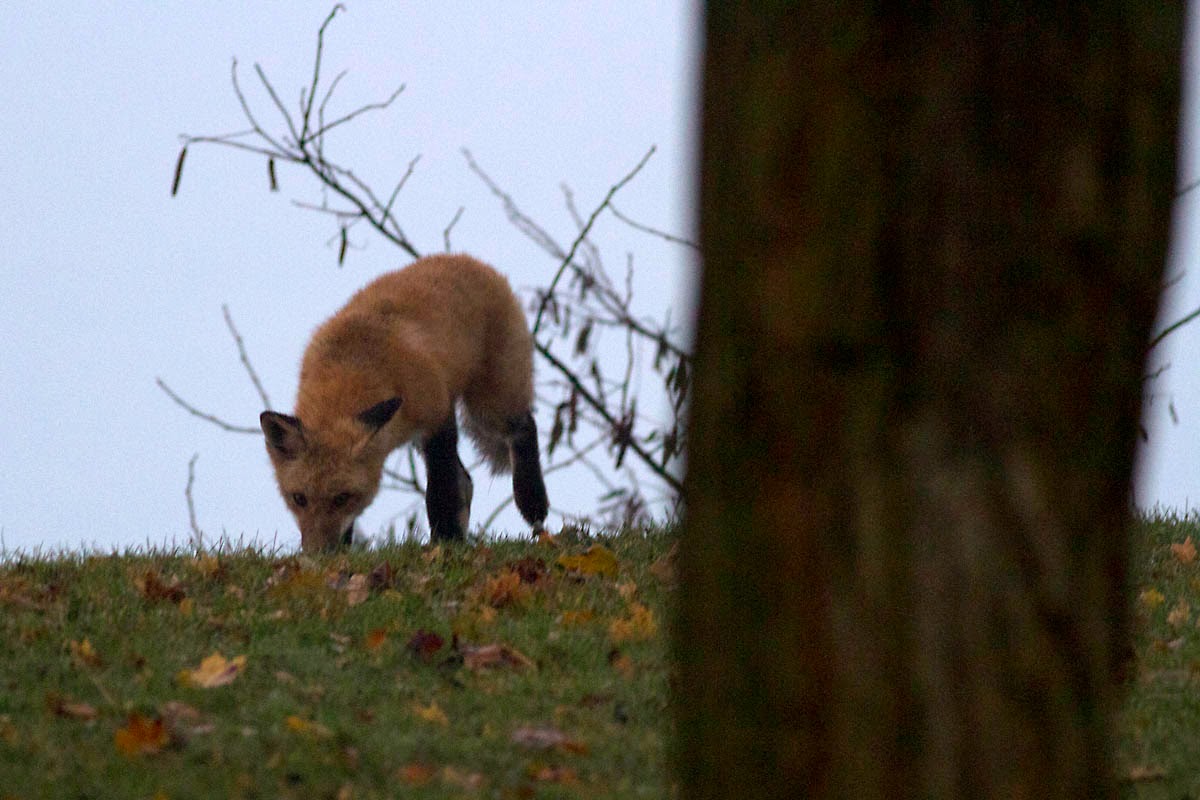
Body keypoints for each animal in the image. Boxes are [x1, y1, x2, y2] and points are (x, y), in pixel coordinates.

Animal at [259, 254, 549, 552]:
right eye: (299, 498)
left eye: (341, 498)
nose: (319, 554)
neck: (351, 371)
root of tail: (467, 259)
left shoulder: (437, 417)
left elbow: (441, 493)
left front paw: (444, 543)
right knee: (467, 480)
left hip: (489, 407)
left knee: (524, 428)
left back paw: (532, 504)